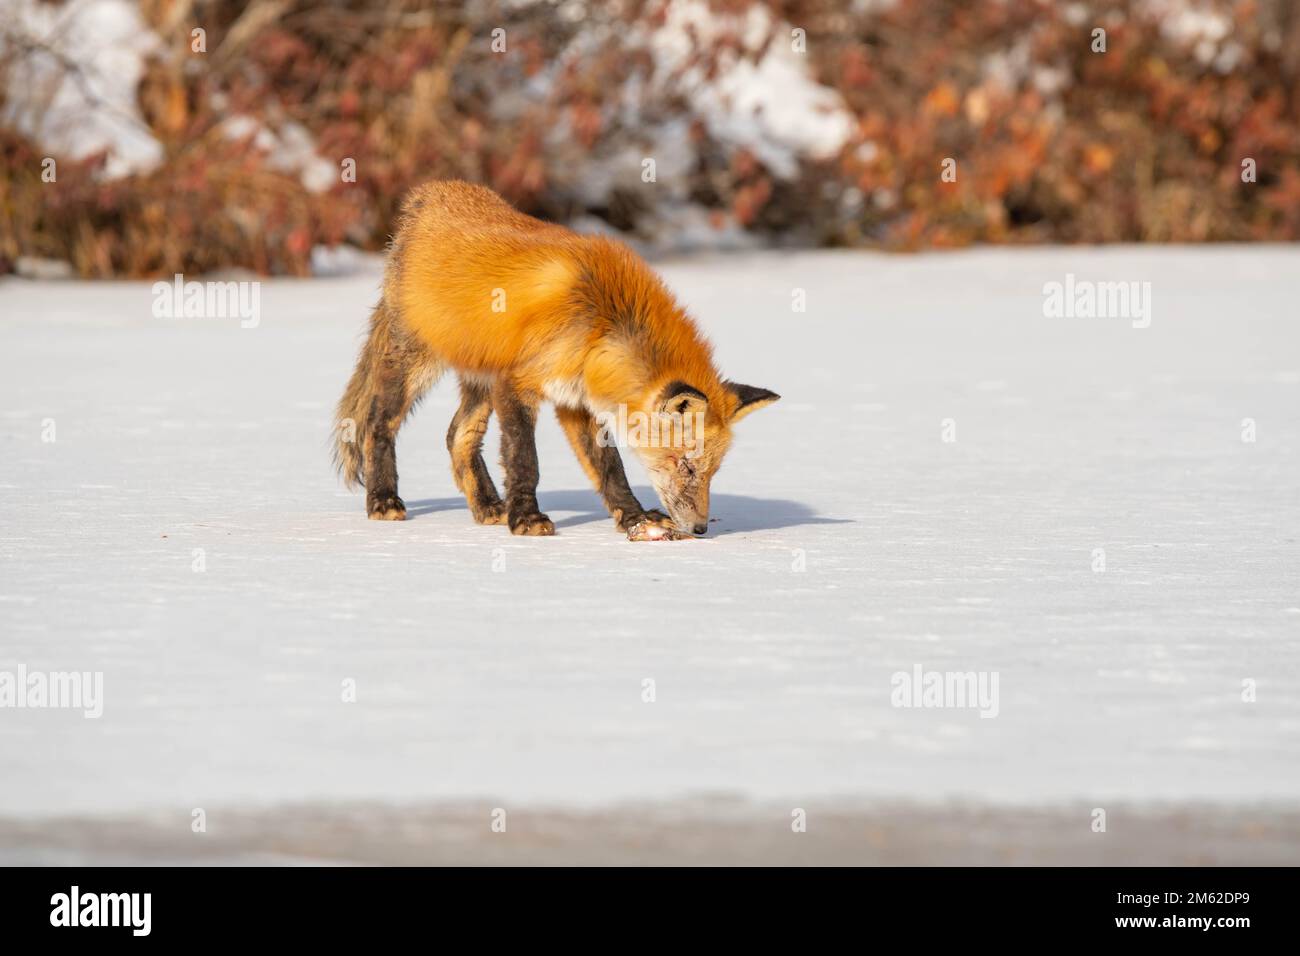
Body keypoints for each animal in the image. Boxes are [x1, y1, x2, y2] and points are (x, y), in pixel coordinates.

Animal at [333, 180, 779, 541]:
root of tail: (423, 198)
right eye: (685, 466)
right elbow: (525, 461)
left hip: (480, 378)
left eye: (711, 471)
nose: (701, 528)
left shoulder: (576, 401)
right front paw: (527, 520)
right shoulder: (518, 384)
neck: (600, 323)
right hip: (415, 364)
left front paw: (634, 519)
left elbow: (610, 469)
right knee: (378, 425)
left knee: (457, 437)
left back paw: (488, 507)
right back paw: (383, 500)